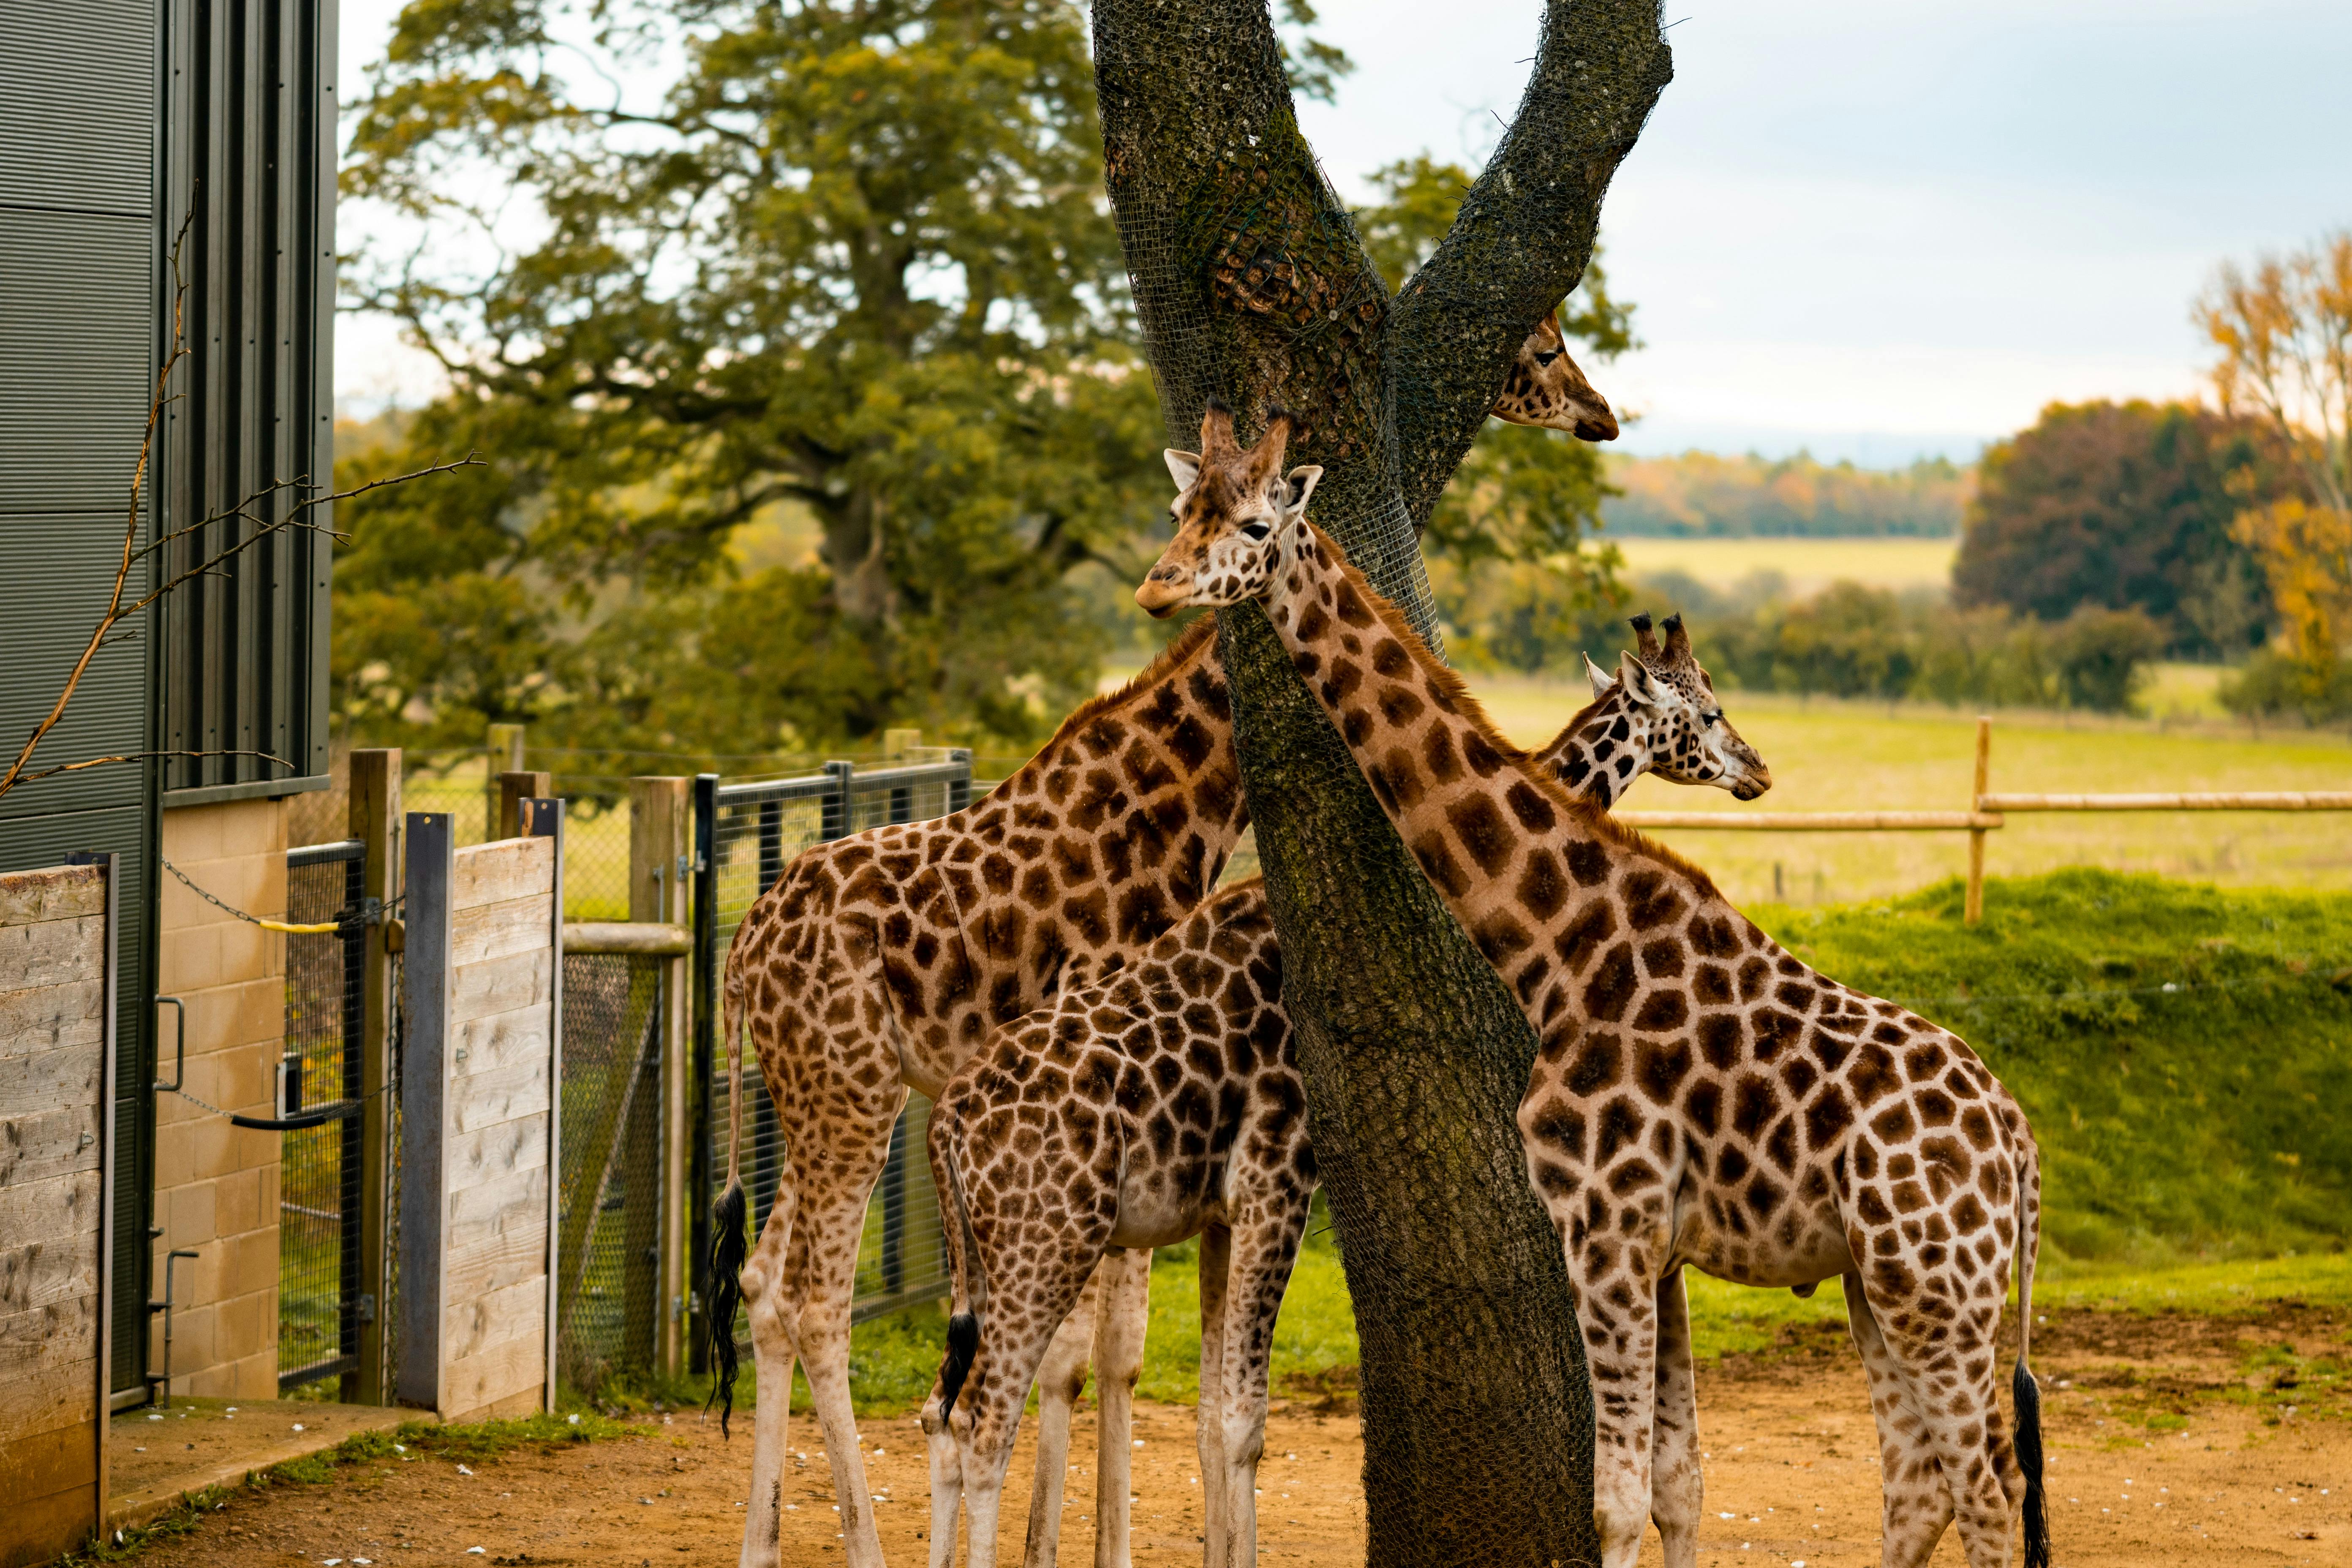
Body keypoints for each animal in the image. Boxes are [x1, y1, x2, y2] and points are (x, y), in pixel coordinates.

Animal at [707, 333, 1634, 1568]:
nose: (1598, 412)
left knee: (767, 1283)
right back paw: (859, 1544)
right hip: (848, 1089)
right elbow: (1105, 1349)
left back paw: (764, 1541)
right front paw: (1080, 1547)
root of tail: (738, 960)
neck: (1177, 793)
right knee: (810, 1295)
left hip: (822, 1092)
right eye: (1543, 348)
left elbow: (1113, 1354)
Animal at [1131, 427, 2052, 1568]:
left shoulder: (1607, 1226)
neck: (1561, 949)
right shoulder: (1653, 1243)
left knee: (1986, 1494)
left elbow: (1622, 1496)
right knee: (1923, 1487)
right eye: (1185, 512)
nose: (1157, 585)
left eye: (1255, 523)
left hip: (1936, 1290)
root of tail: (2019, 1146)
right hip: (1882, 1286)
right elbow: (1670, 1482)